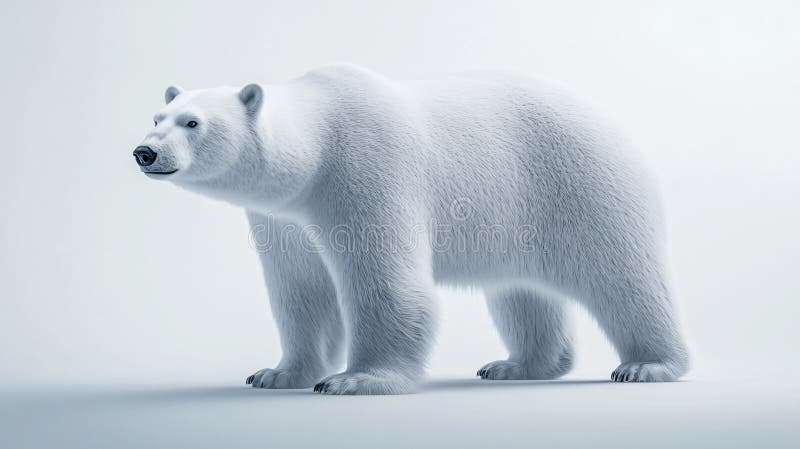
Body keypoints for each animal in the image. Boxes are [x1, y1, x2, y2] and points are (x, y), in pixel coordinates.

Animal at [133, 63, 689, 395]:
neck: (317, 146)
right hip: (518, 220)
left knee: (623, 278)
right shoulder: (285, 218)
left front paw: (354, 379)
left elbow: (386, 283)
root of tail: (619, 126)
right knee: (521, 292)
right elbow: (302, 291)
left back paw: (647, 365)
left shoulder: (366, 171)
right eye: (158, 116)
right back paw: (515, 365)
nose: (145, 152)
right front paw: (277, 373)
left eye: (193, 123)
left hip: (582, 187)